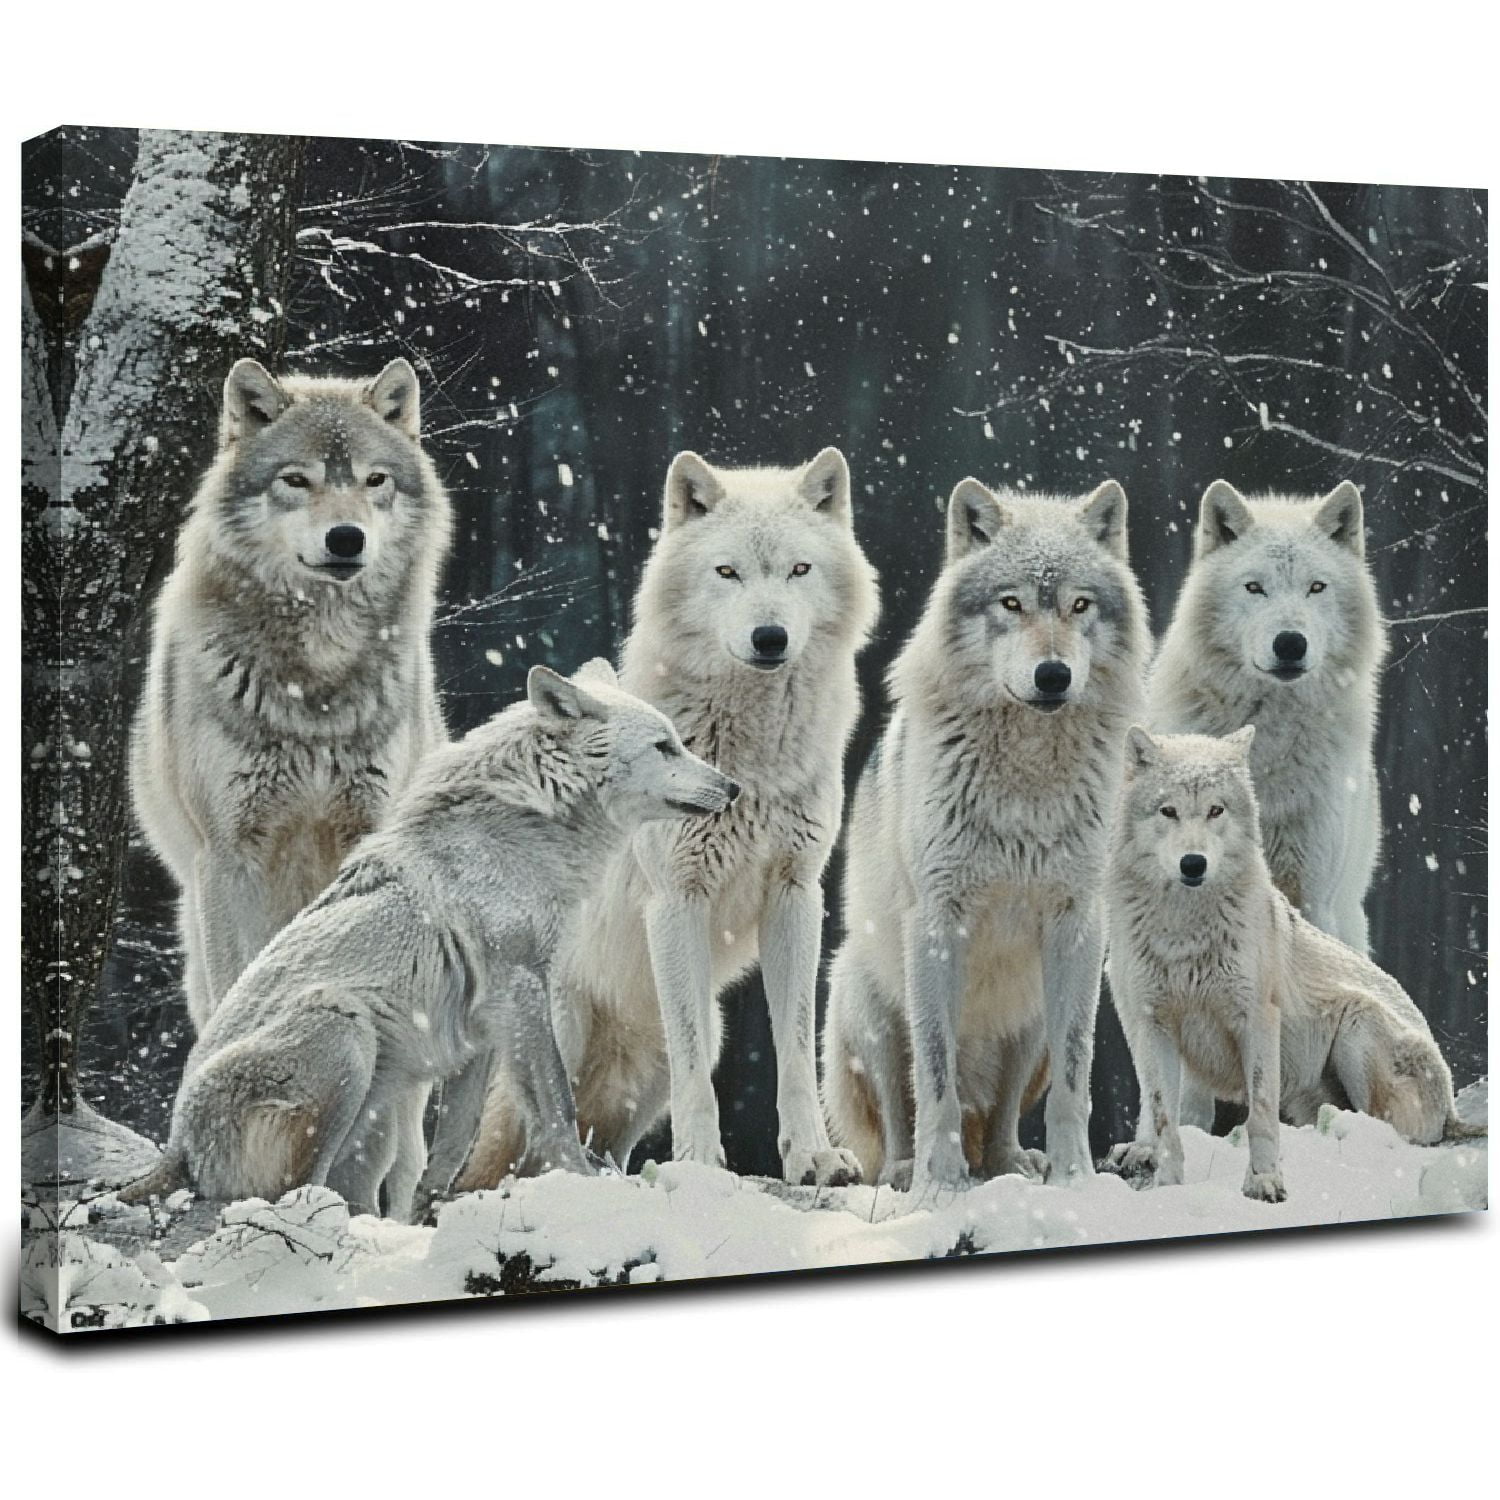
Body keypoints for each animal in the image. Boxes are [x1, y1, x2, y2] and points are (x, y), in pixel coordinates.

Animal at [119, 661, 739, 1219]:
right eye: (665, 746)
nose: (732, 787)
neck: (528, 828)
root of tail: (175, 1149)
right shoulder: (522, 990)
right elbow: (557, 1104)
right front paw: (582, 1181)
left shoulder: (485, 1030)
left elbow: (457, 1135)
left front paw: (435, 1204)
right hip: (344, 1027)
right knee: (290, 1194)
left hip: (379, 1106)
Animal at [131, 357, 452, 1034]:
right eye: (297, 480)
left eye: (375, 479)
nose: (347, 537)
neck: (317, 681)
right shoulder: (229, 858)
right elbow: (240, 985)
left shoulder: (366, 834)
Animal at [453, 448, 880, 1190]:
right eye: (727, 572)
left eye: (799, 570)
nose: (770, 637)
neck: (753, 759)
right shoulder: (676, 899)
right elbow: (691, 1063)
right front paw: (703, 1165)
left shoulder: (795, 896)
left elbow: (796, 1044)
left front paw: (813, 1157)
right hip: (549, 1045)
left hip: (653, 1076)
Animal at [822, 477, 1150, 1192]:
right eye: (1012, 603)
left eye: (1079, 604)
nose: (1053, 675)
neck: (1026, 779)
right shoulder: (937, 924)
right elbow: (934, 1073)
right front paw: (938, 1182)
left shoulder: (1078, 925)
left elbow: (1078, 1079)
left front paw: (1076, 1177)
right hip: (865, 1004)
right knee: (899, 1117)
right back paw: (908, 1168)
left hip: (1030, 1020)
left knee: (999, 1125)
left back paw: (1014, 1163)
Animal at [1106, 727, 1480, 1203]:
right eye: (1167, 811)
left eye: (1215, 810)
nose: (1193, 864)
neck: (1183, 931)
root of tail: (1452, 1109)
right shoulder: (1149, 1023)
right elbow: (1163, 1118)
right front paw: (1166, 1187)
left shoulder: (1256, 1019)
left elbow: (1260, 1115)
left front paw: (1265, 1183)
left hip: (1357, 1027)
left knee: (1389, 1131)